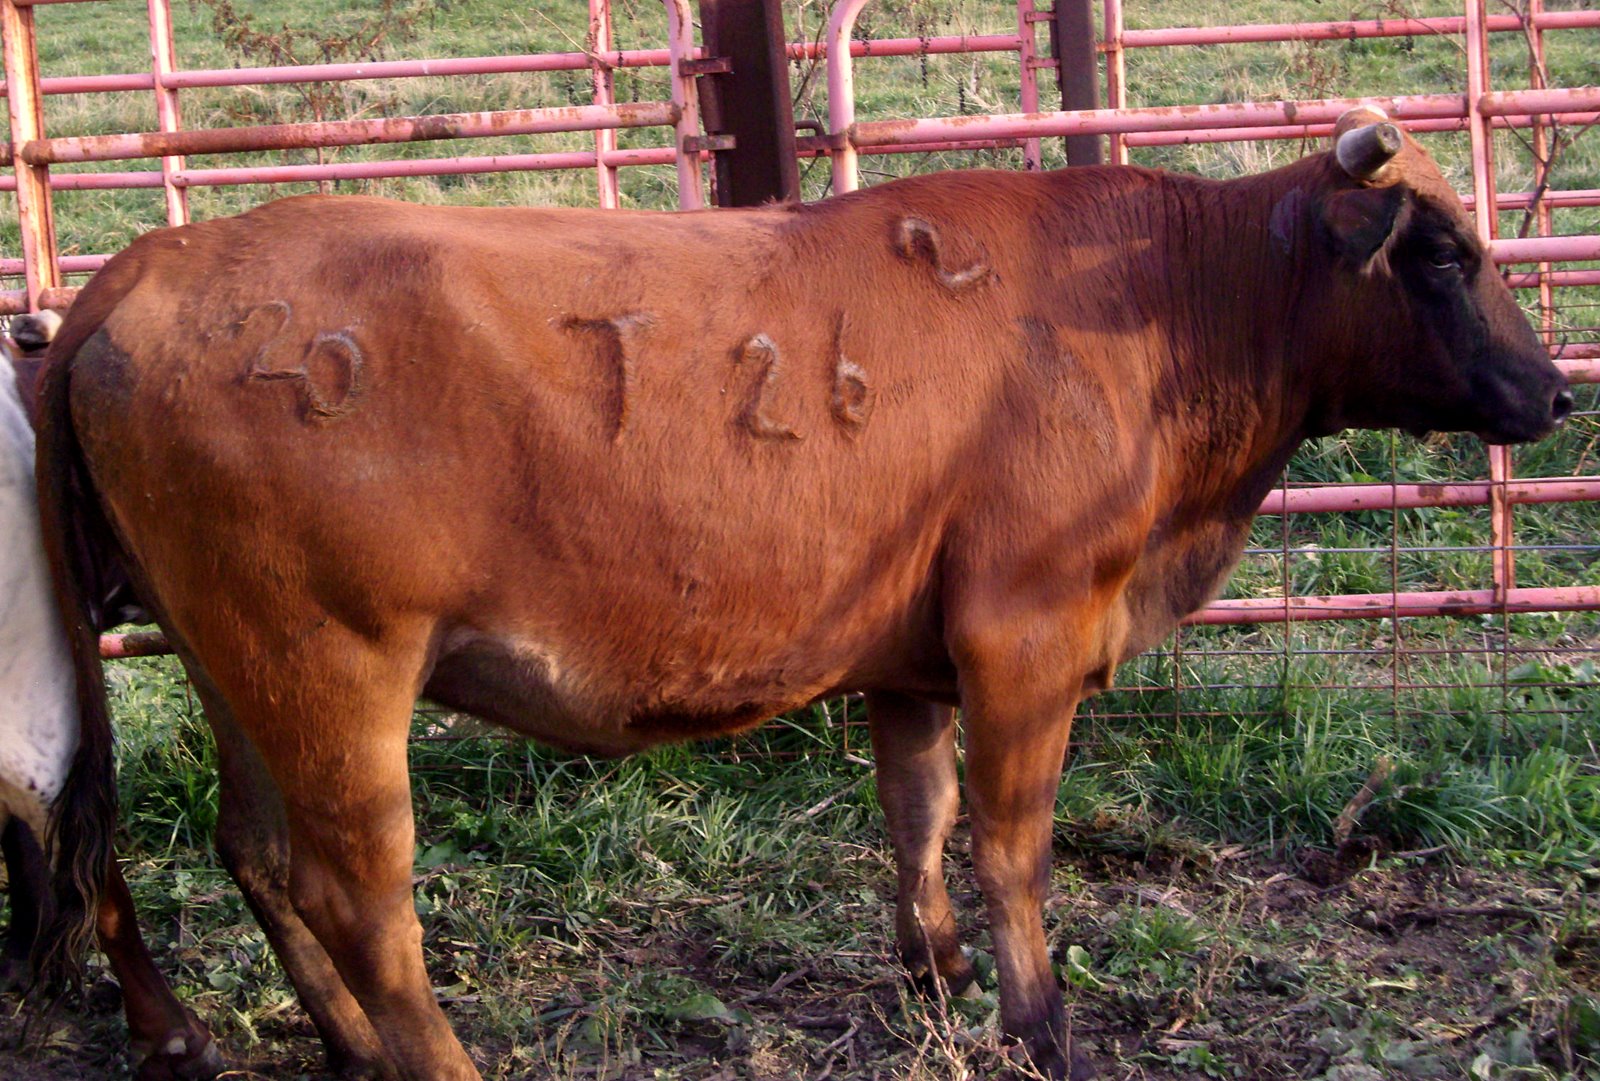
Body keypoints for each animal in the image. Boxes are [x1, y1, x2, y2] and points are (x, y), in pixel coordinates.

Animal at [32, 107, 1569, 1080]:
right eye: (1440, 253)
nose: (1557, 392)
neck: (1156, 304)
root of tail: (148, 267)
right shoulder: (1024, 632)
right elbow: (1012, 843)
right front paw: (1042, 1023)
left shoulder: (913, 655)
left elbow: (917, 816)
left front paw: (936, 972)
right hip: (331, 669)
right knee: (361, 896)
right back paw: (430, 1057)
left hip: (234, 665)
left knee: (256, 853)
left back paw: (345, 1043)